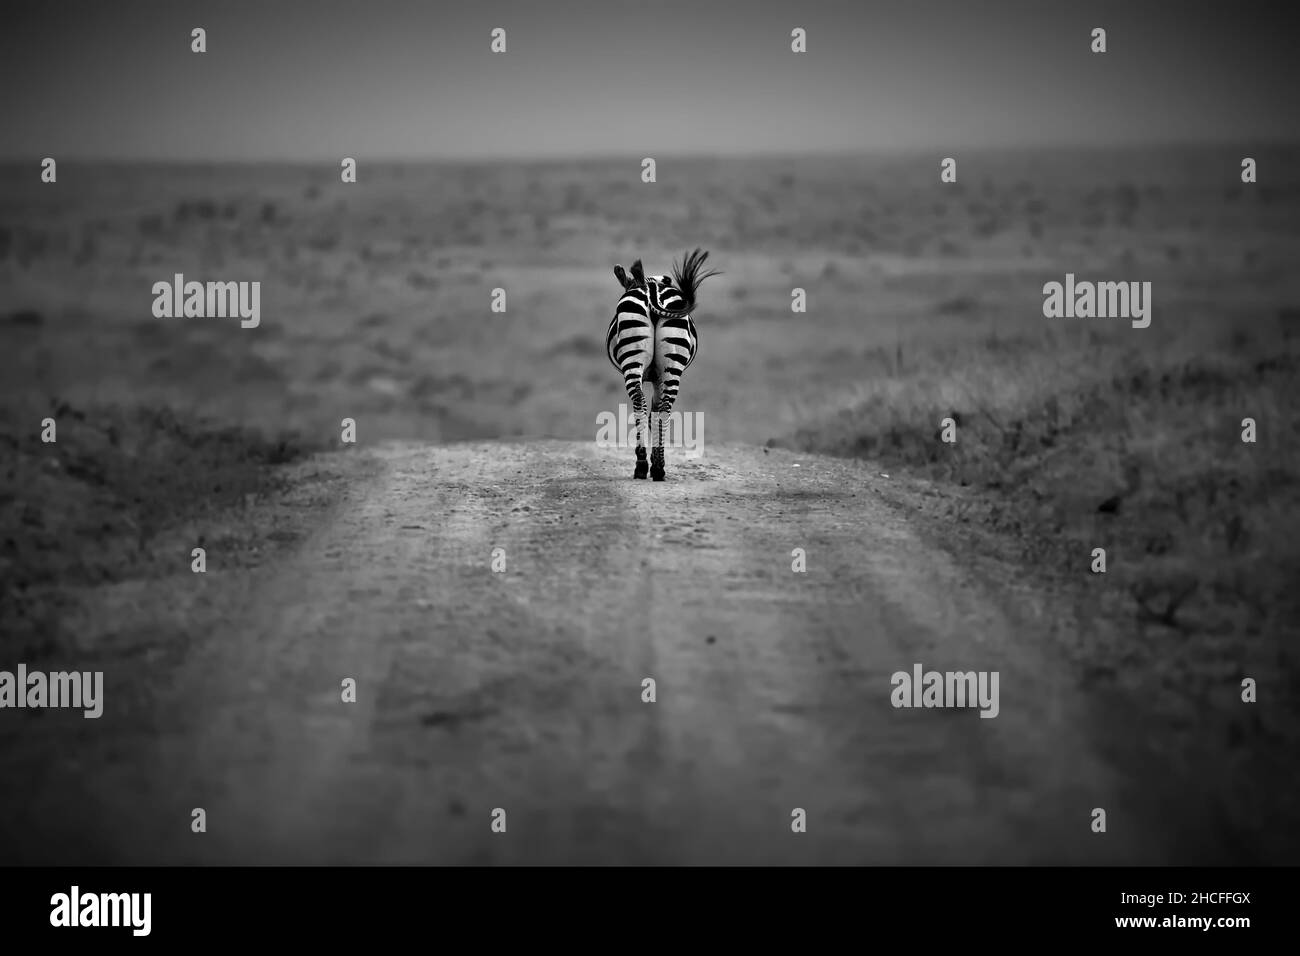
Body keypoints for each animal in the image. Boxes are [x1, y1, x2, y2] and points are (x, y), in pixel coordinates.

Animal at [605, 248, 720, 480]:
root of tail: (651, 289)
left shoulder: (655, 377)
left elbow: (652, 413)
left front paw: (649, 460)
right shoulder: (658, 376)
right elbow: (655, 413)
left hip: (635, 361)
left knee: (640, 401)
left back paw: (644, 465)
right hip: (671, 366)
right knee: (664, 406)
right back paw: (657, 466)